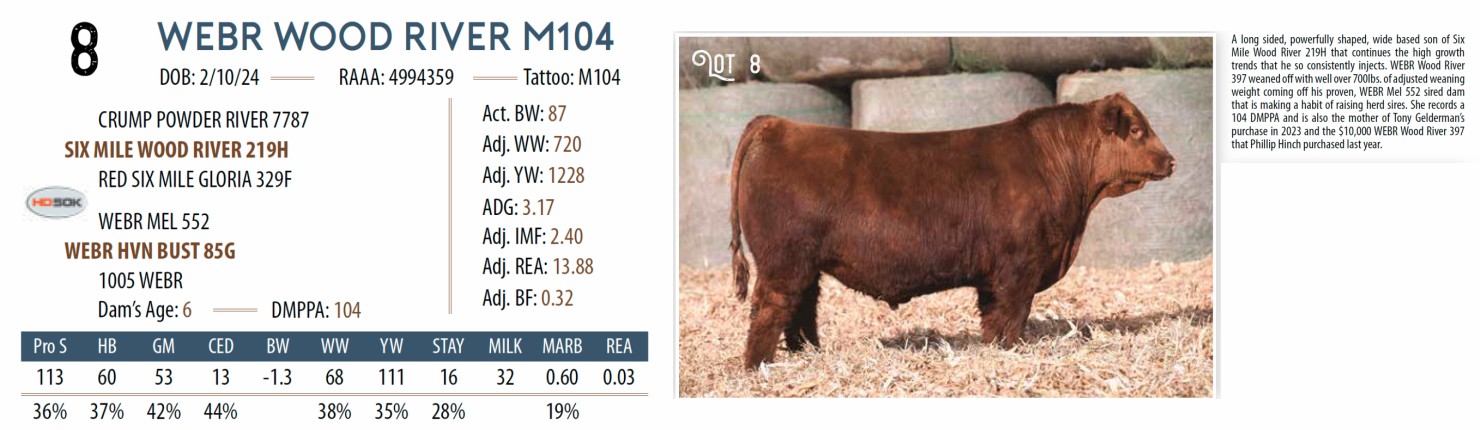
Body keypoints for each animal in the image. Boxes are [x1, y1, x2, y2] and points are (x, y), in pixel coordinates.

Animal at [727, 93, 1175, 369]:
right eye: (1137, 130)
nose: (1171, 160)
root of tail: (776, 124)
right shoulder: (1018, 267)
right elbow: (1012, 315)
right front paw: (1011, 350)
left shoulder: (995, 276)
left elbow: (993, 317)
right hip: (784, 261)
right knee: (769, 308)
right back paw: (759, 366)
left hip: (805, 266)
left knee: (801, 308)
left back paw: (806, 354)